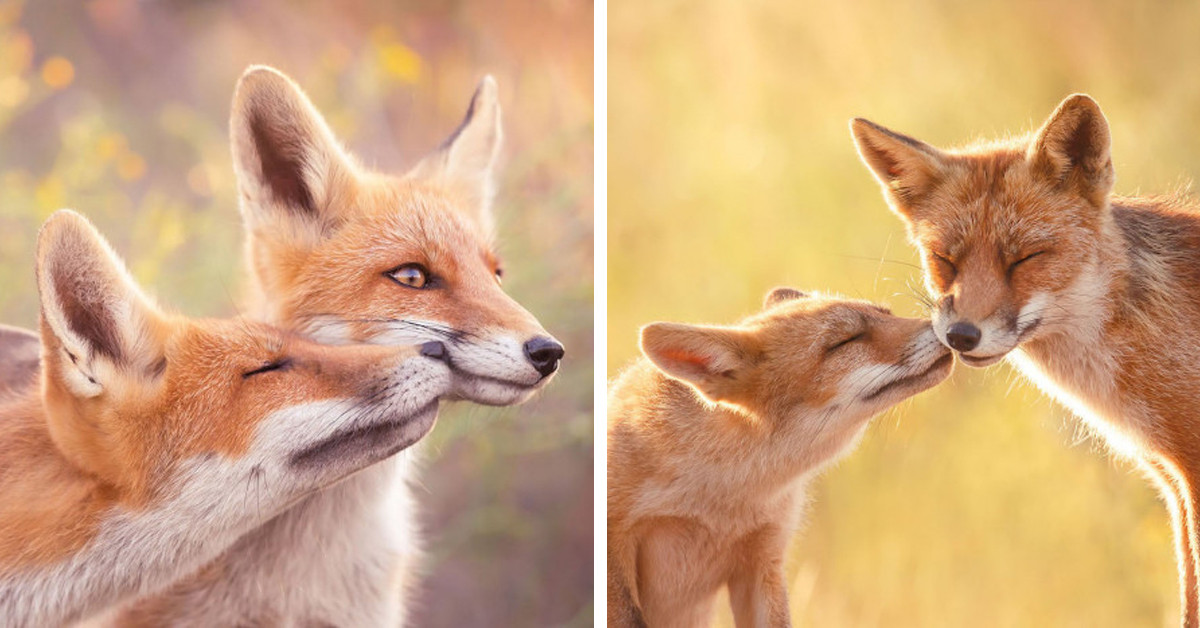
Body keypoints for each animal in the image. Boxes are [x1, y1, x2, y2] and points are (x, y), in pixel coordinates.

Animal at [607, 288, 953, 627]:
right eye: (846, 340)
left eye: (887, 314)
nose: (952, 331)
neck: (719, 502)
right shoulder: (615, 546)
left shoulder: (763, 557)